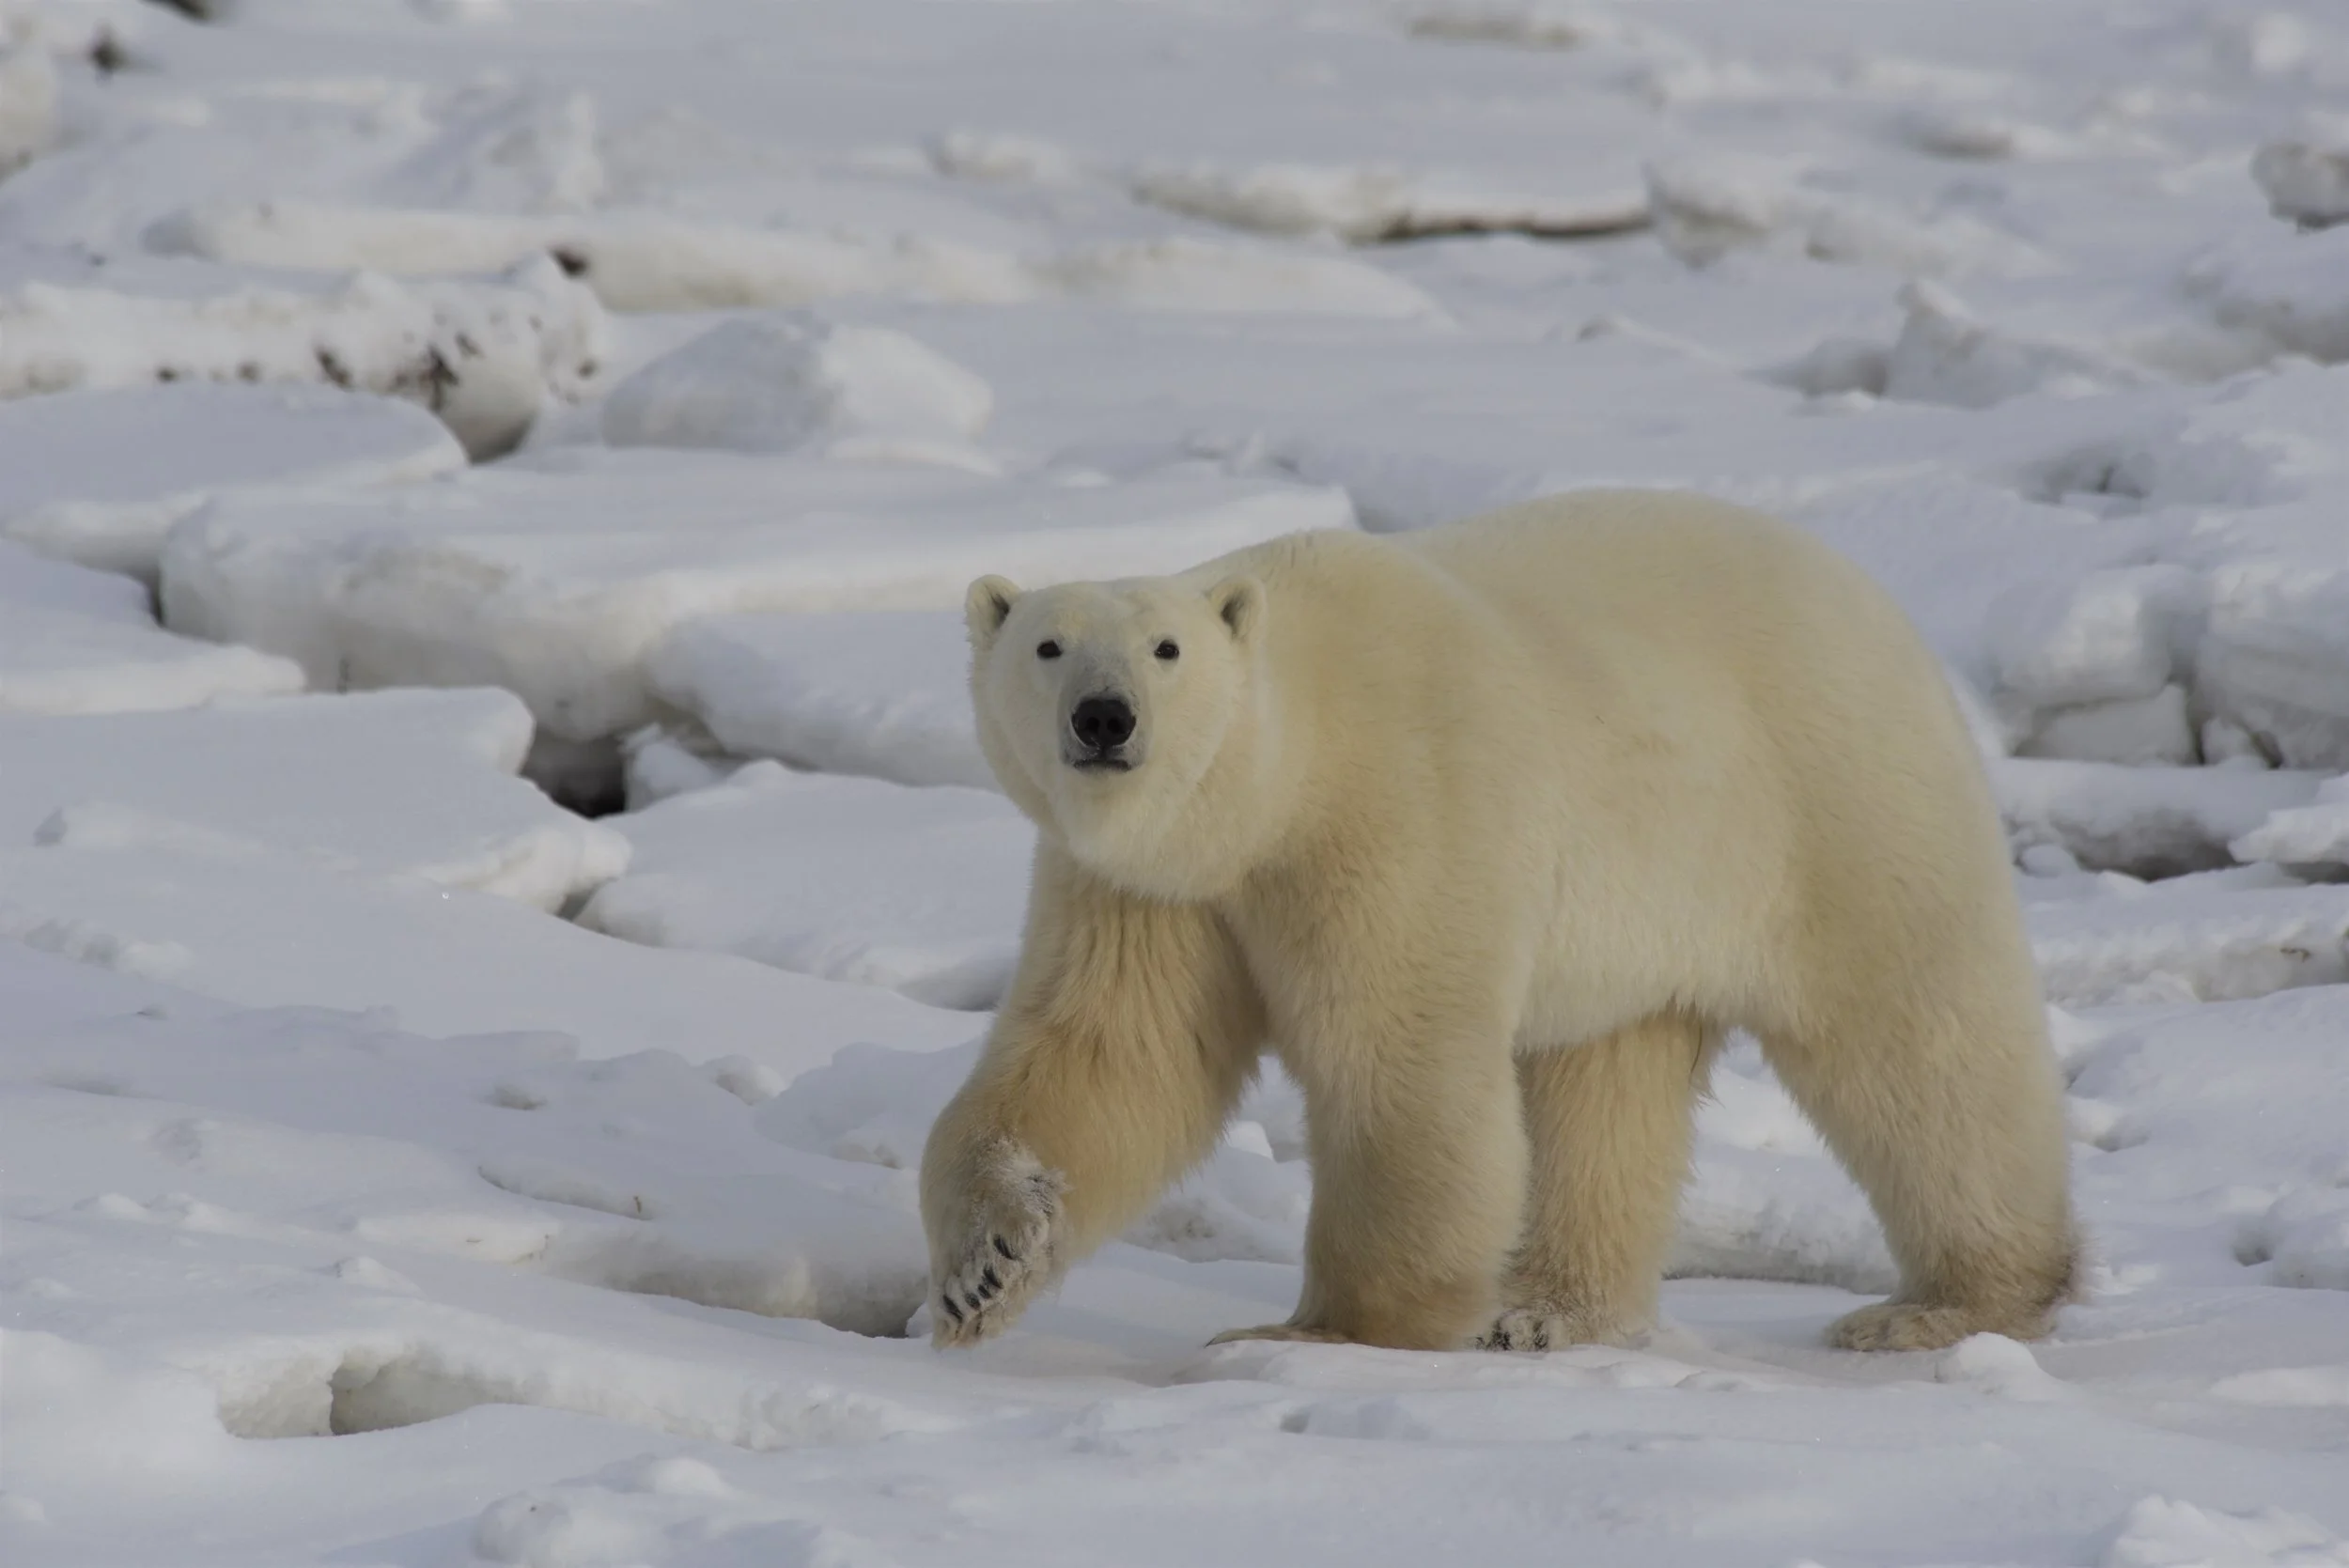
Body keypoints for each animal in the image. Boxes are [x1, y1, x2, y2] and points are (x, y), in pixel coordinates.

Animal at [919, 489, 2080, 1355]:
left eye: (1165, 648)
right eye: (1048, 645)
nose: (1104, 718)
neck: (1285, 777)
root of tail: (1879, 604)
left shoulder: (1397, 812)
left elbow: (1396, 1063)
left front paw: (1327, 1330)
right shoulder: (1150, 890)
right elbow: (1109, 1055)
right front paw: (985, 1266)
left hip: (1833, 805)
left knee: (1922, 1047)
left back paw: (1947, 1304)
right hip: (1643, 914)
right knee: (1603, 1086)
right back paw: (1544, 1311)